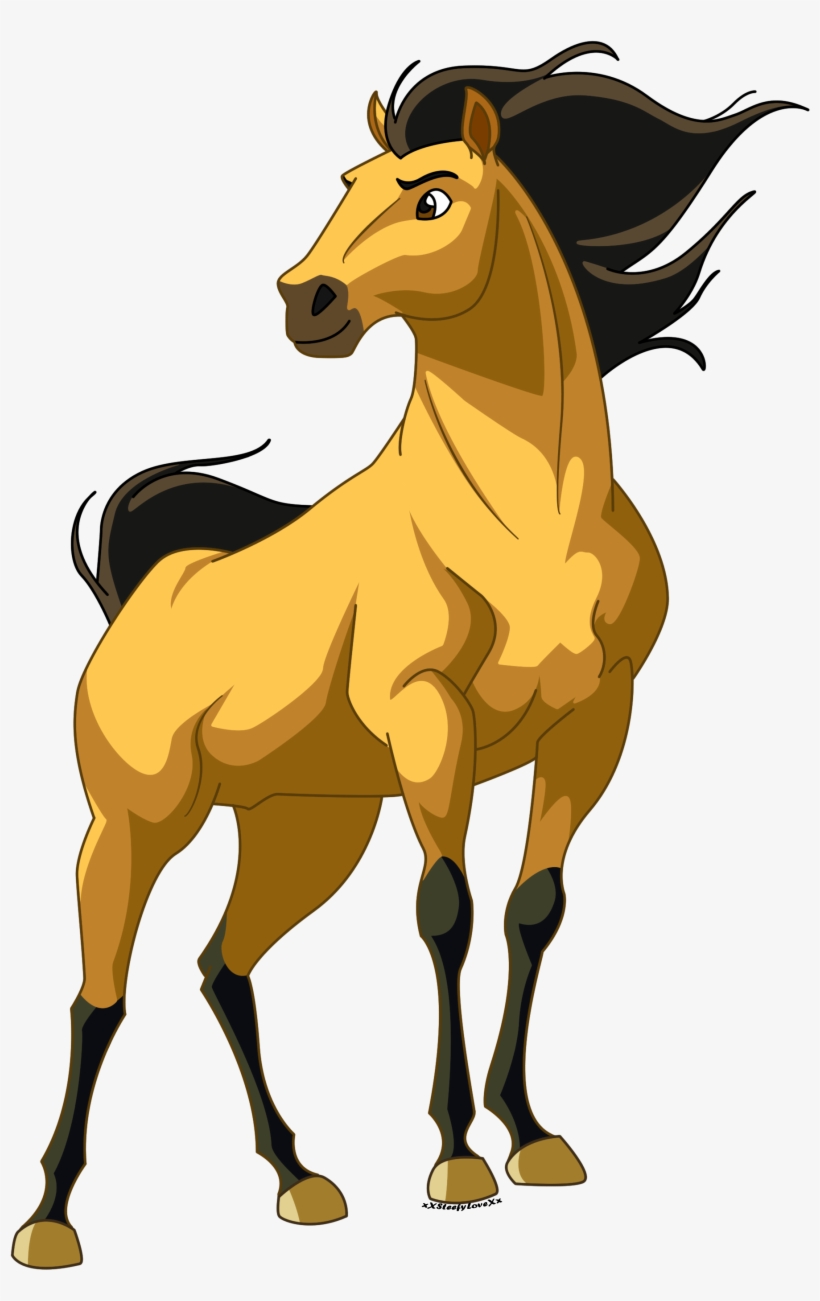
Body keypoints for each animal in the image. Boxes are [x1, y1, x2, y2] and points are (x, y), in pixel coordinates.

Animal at [12, 41, 799, 1269]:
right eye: (342, 185)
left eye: (429, 197)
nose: (307, 302)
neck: (527, 530)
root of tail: (135, 597)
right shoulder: (429, 721)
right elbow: (446, 909)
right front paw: (458, 1156)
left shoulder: (595, 726)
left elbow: (533, 907)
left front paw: (532, 1135)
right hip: (132, 824)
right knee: (99, 994)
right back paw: (51, 1222)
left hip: (305, 827)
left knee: (223, 966)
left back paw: (300, 1177)